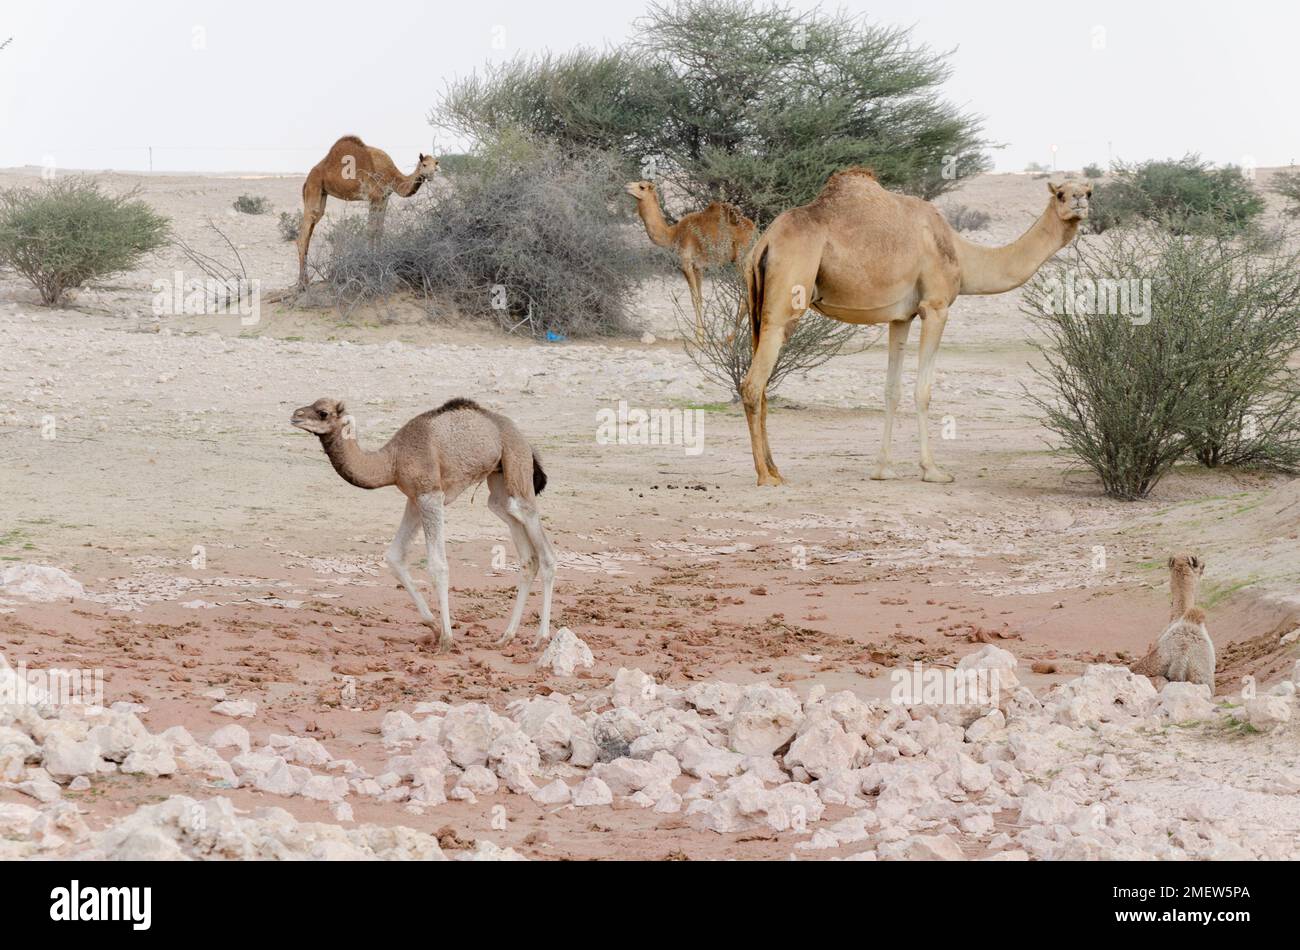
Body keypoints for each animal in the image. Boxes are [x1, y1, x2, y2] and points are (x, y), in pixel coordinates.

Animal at [290, 397, 555, 653]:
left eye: (323, 412)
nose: (295, 415)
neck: (392, 461)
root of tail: (524, 440)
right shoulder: (413, 498)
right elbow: (394, 556)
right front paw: (434, 627)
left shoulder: (430, 495)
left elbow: (438, 566)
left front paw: (447, 640)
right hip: (499, 484)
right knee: (525, 552)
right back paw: (506, 638)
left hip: (517, 467)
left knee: (545, 551)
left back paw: (540, 639)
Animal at [296, 135, 439, 289]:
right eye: (424, 164)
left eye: (435, 166)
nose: (431, 175)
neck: (392, 176)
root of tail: (308, 178)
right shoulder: (374, 197)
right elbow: (371, 230)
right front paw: (371, 265)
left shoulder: (384, 198)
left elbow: (379, 229)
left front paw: (380, 260)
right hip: (314, 186)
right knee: (304, 234)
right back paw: (301, 285)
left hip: (322, 193)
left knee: (310, 230)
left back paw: (305, 281)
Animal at [625, 180, 756, 340]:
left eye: (641, 187)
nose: (626, 186)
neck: (673, 234)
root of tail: (754, 230)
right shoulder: (698, 267)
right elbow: (700, 298)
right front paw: (703, 335)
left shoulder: (685, 263)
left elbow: (694, 299)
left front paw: (698, 337)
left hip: (741, 260)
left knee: (747, 293)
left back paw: (731, 338)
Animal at [740, 168, 1091, 486]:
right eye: (1061, 193)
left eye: (1088, 191)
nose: (1079, 203)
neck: (961, 254)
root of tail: (764, 244)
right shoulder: (935, 307)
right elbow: (923, 390)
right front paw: (933, 470)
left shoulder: (900, 317)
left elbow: (891, 390)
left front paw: (882, 469)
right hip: (784, 305)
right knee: (753, 384)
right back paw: (765, 477)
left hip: (758, 309)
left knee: (762, 385)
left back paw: (775, 470)